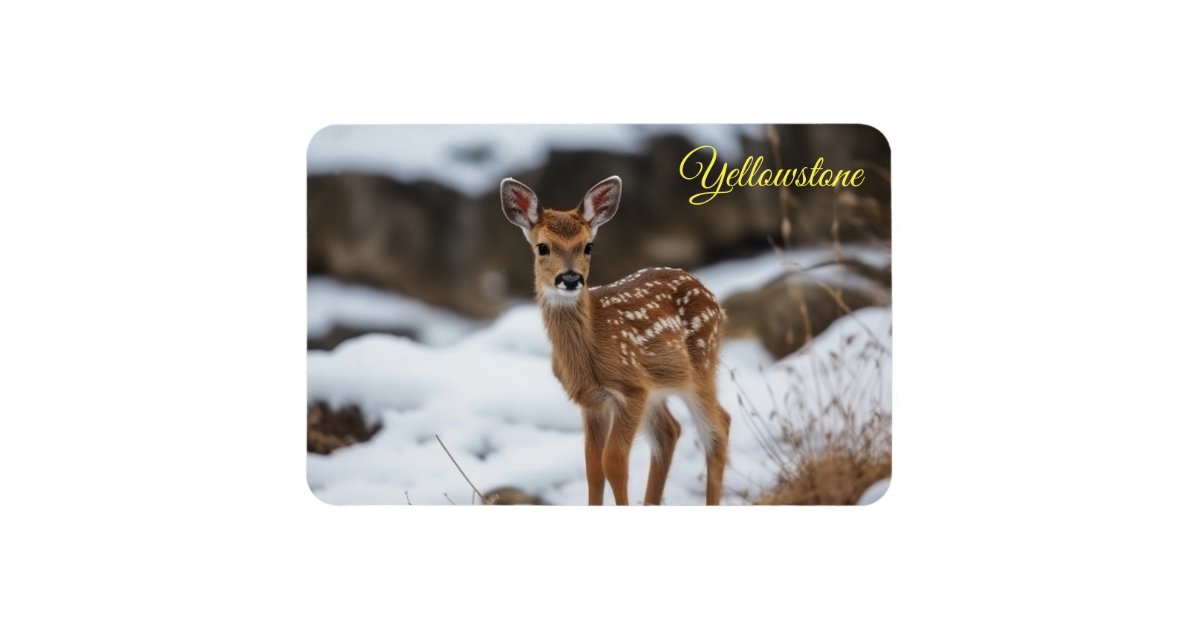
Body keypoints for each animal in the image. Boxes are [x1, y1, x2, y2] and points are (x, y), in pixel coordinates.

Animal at [500, 175, 732, 505]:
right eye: (542, 247)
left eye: (588, 246)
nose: (570, 279)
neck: (591, 348)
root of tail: (714, 300)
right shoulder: (593, 401)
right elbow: (593, 467)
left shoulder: (632, 389)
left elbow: (613, 462)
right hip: (661, 385)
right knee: (670, 431)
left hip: (700, 367)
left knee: (718, 427)